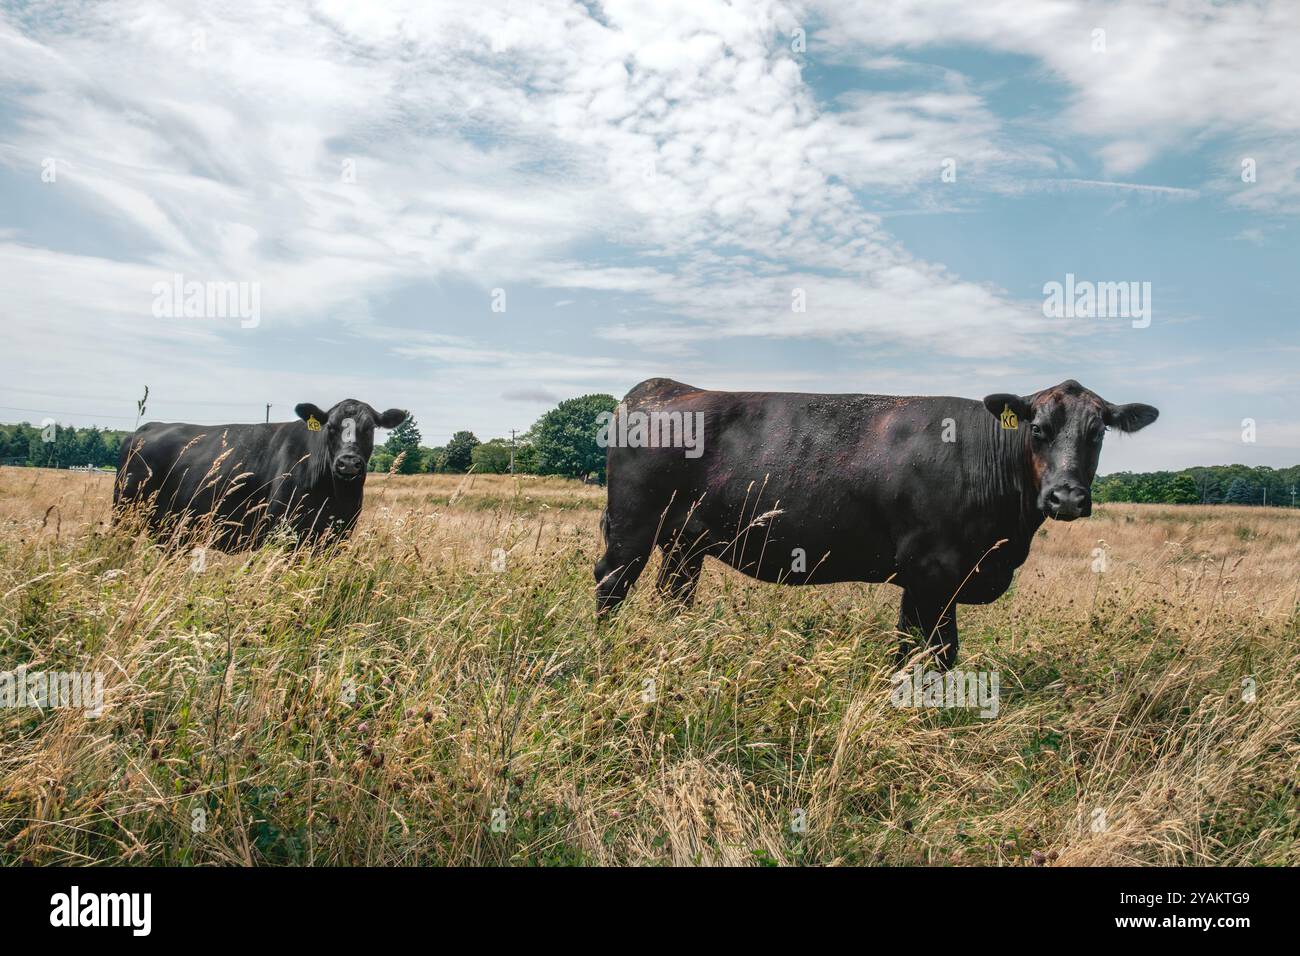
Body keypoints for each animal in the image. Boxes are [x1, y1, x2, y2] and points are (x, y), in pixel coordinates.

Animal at [114, 400, 407, 550]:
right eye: (331, 428)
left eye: (369, 428)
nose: (348, 464)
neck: (334, 495)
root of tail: (146, 428)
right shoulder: (281, 532)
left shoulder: (335, 537)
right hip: (126, 514)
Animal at [595, 378, 1158, 669]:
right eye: (1037, 429)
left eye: (1097, 433)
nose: (1067, 496)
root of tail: (660, 390)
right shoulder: (932, 572)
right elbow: (929, 650)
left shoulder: (930, 580)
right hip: (632, 529)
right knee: (610, 585)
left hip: (684, 544)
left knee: (673, 597)